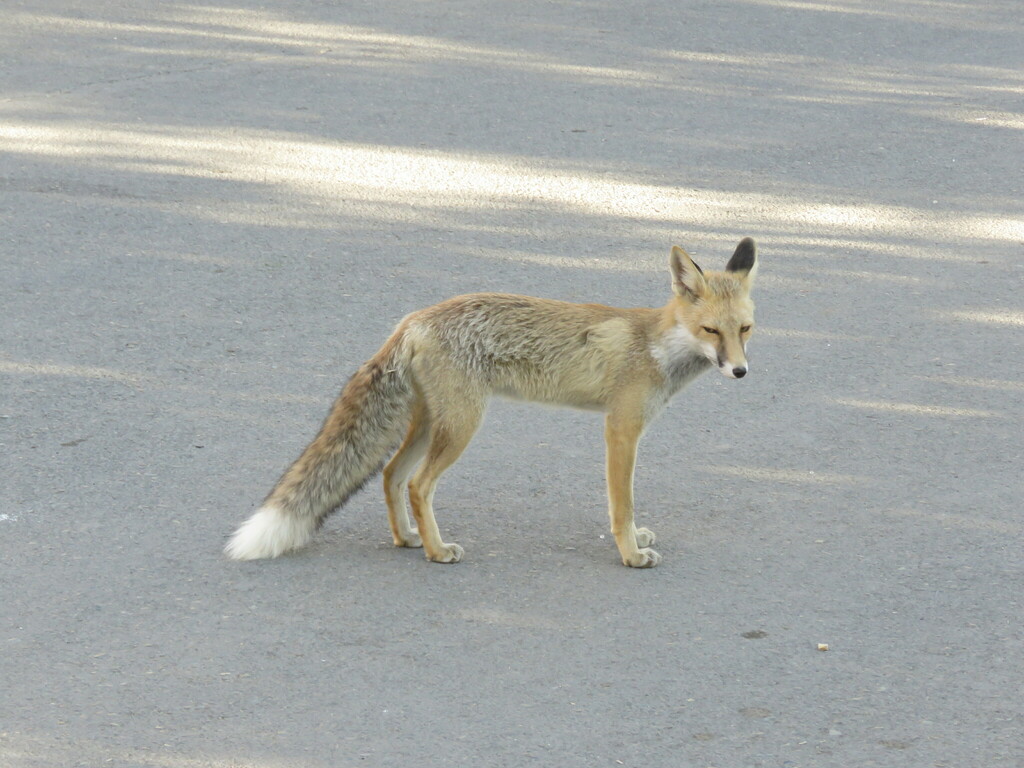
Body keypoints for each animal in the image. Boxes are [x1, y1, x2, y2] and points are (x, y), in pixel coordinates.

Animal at [225, 238, 758, 568]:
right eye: (711, 330)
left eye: (745, 329)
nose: (740, 372)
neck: (654, 347)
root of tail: (413, 318)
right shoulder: (620, 429)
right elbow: (620, 506)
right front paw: (630, 555)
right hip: (462, 425)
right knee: (417, 484)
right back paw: (437, 552)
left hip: (431, 422)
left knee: (391, 475)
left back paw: (408, 539)